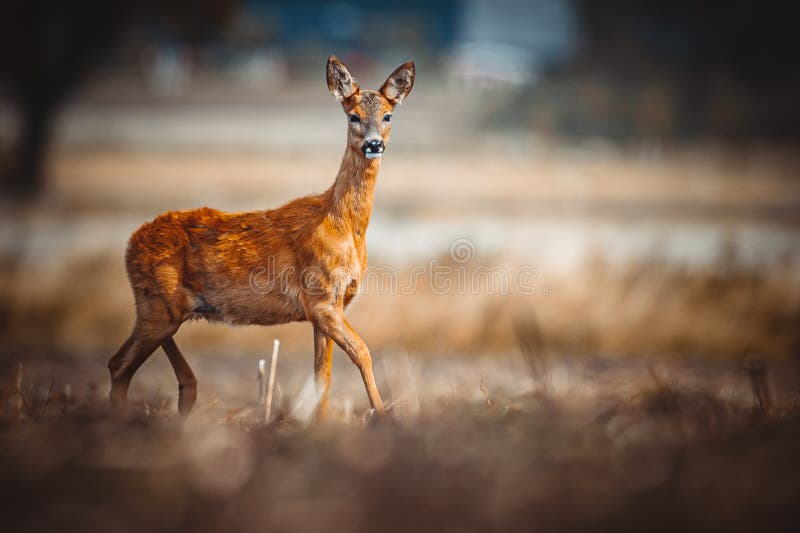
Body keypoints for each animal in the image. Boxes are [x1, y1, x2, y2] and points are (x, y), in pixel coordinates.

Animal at [108, 55, 415, 418]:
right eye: (353, 115)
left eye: (387, 115)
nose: (373, 144)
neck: (343, 226)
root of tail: (130, 244)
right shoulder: (321, 297)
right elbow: (362, 352)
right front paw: (382, 416)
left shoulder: (329, 306)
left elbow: (322, 378)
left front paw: (322, 424)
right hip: (156, 305)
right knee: (119, 364)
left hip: (162, 307)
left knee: (147, 364)